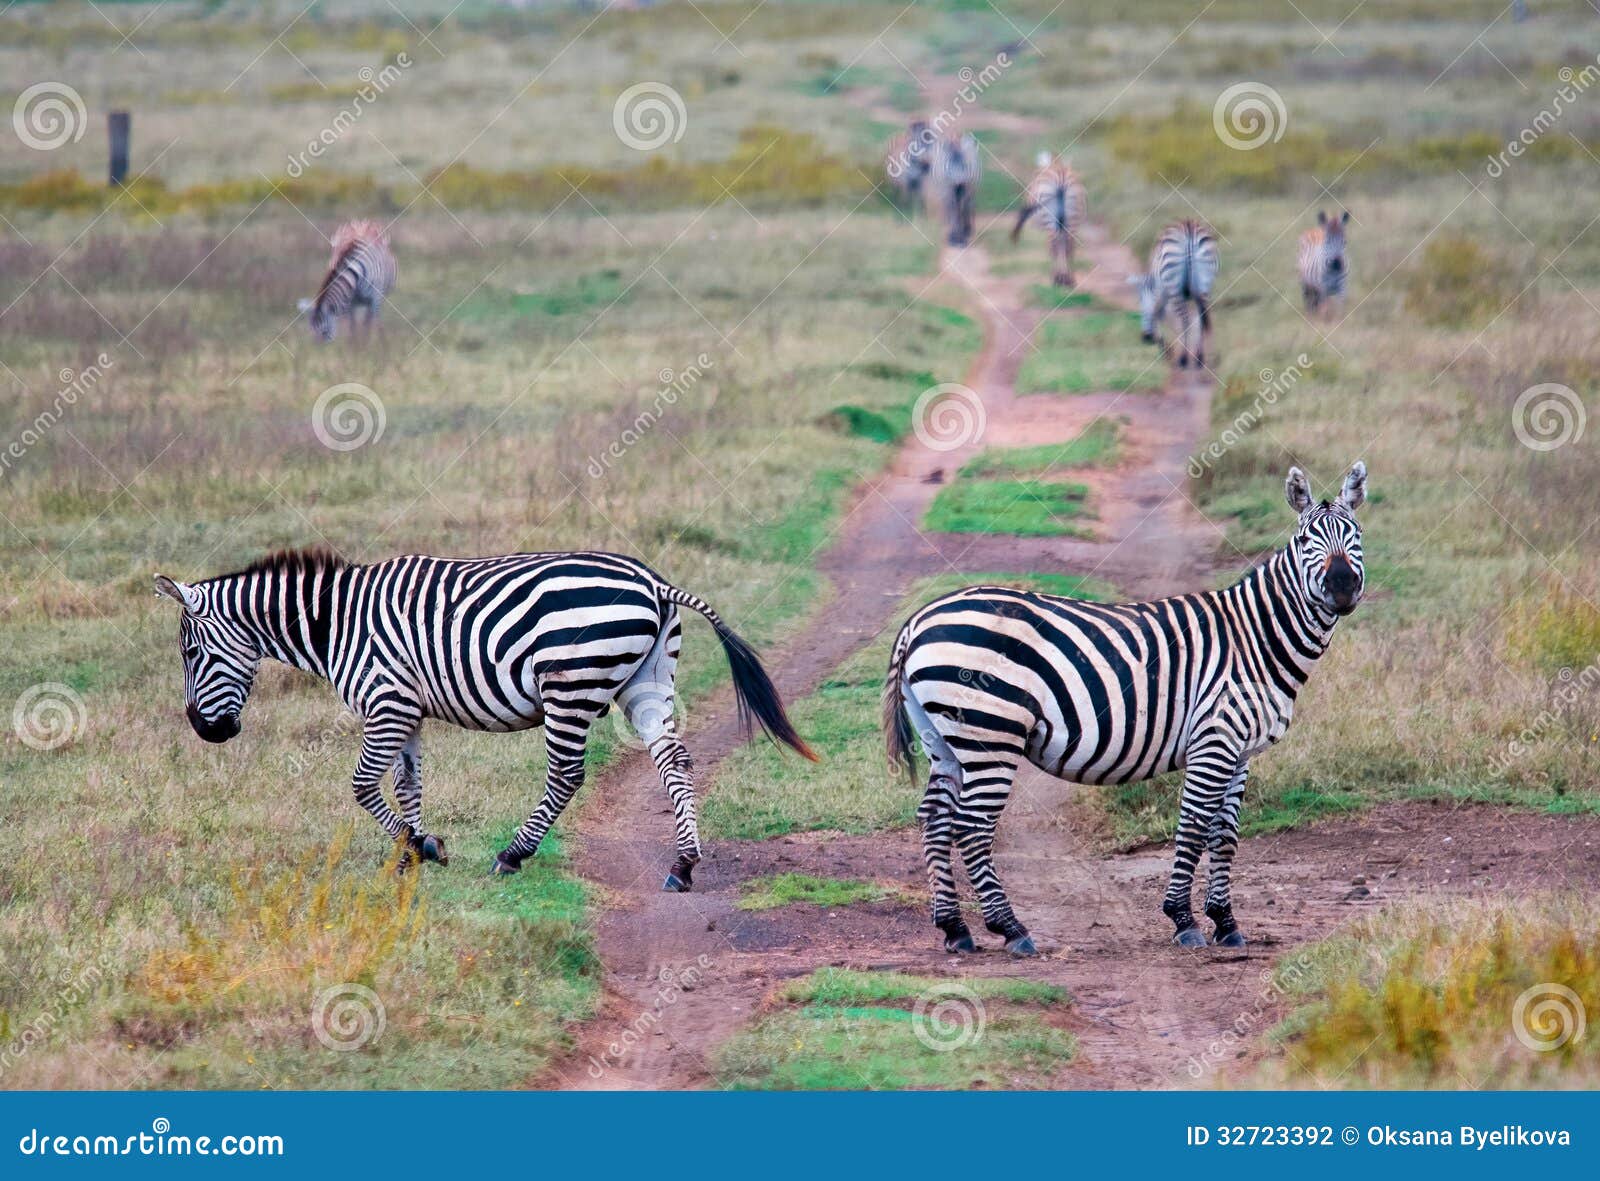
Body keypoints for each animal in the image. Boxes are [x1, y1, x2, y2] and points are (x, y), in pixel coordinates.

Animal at [154, 548, 815, 886]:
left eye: (189, 652)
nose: (206, 731)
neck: (335, 622)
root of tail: (654, 581)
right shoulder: (408, 710)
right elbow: (407, 783)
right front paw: (411, 854)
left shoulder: (387, 701)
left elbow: (363, 785)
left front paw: (422, 847)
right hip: (646, 681)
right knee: (675, 760)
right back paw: (682, 864)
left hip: (571, 684)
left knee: (566, 775)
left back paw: (513, 855)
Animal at [883, 462, 1368, 955]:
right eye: (1306, 541)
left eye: (1357, 535)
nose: (1342, 586)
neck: (1253, 636)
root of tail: (919, 620)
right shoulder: (1214, 740)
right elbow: (1194, 825)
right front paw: (1184, 920)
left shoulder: (1240, 751)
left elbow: (1225, 834)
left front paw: (1226, 923)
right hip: (990, 735)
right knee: (972, 826)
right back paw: (1011, 929)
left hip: (944, 739)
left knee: (934, 820)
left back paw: (955, 929)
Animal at [1010, 152, 1086, 287]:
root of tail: (1061, 179)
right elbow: (1064, 247)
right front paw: (1064, 277)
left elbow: (1053, 249)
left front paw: (1058, 277)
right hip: (1072, 219)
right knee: (1068, 245)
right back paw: (1068, 278)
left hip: (1049, 220)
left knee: (1054, 244)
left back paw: (1057, 278)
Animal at [1130, 219, 1219, 368]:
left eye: (1140, 302)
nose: (1146, 338)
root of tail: (1188, 229)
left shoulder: (1164, 292)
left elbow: (1159, 314)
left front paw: (1165, 349)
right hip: (1205, 283)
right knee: (1203, 318)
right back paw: (1199, 358)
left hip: (1174, 284)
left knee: (1185, 319)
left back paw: (1183, 359)